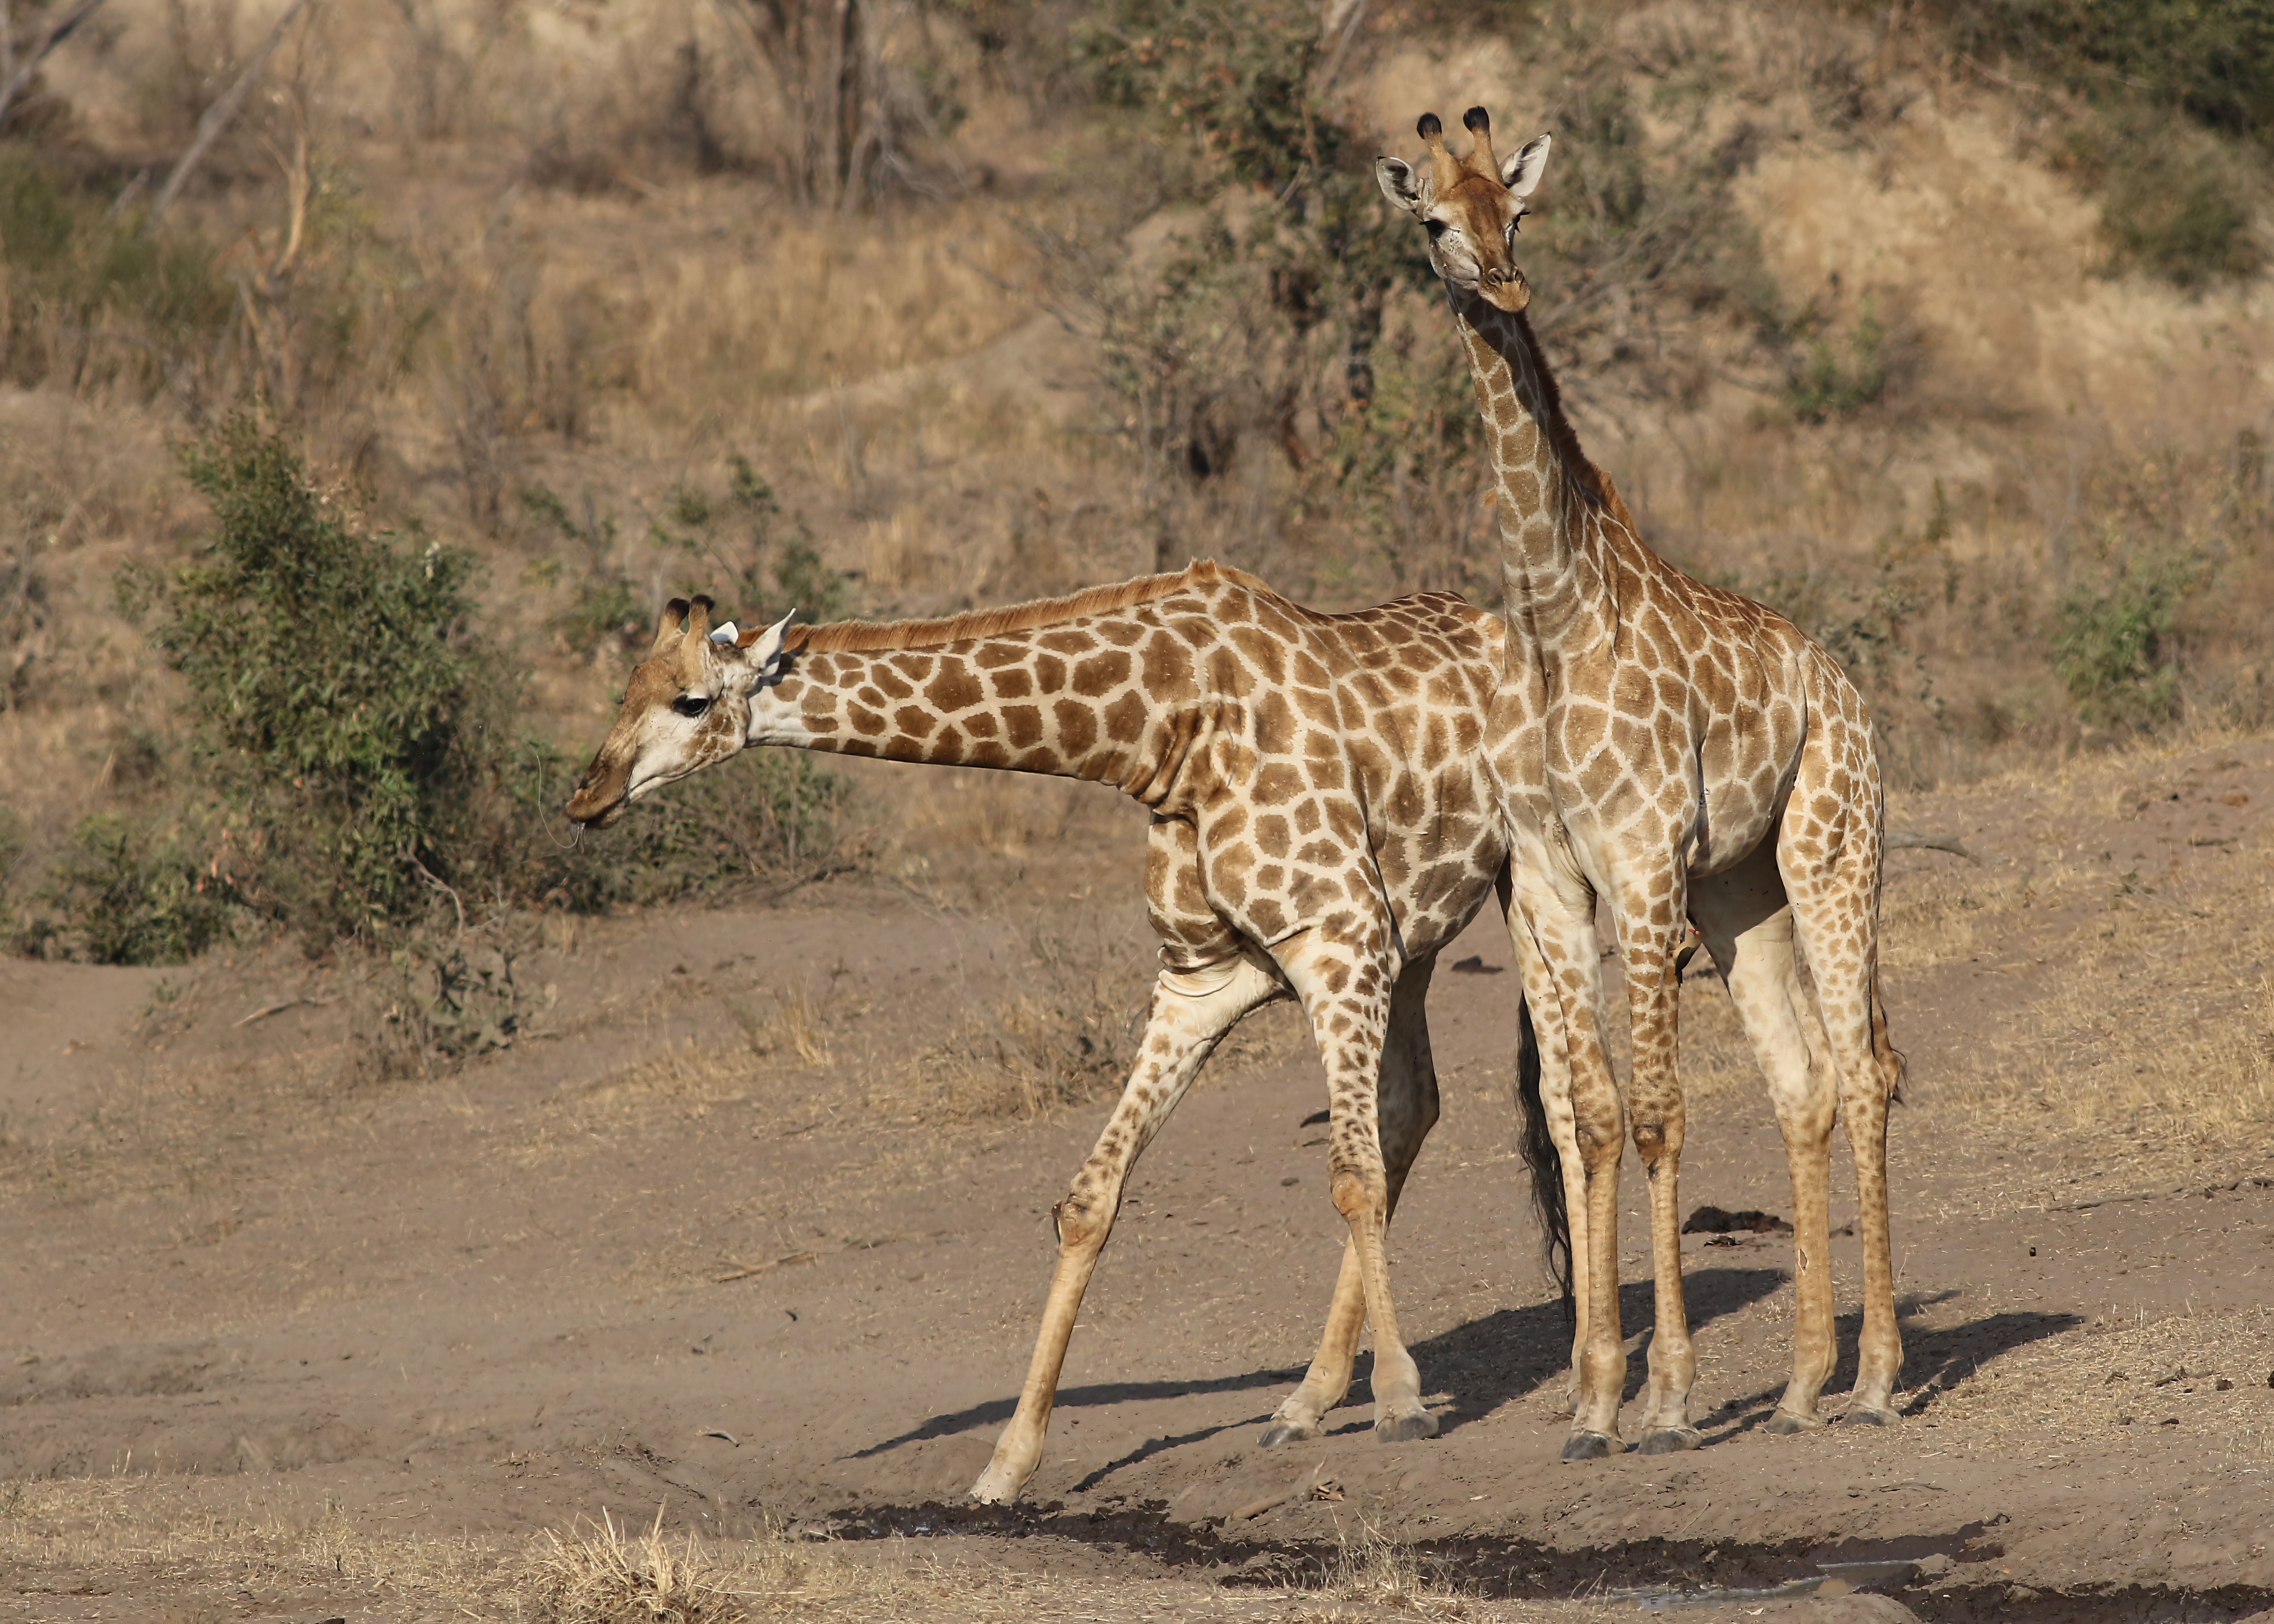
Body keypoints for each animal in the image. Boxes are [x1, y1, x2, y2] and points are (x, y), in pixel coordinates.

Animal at [562, 560, 1560, 1504]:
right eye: (624, 690)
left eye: (690, 700)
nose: (587, 796)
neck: (1161, 722)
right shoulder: (1205, 976)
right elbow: (1089, 1201)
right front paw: (1006, 1465)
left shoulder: (1336, 938)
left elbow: (1350, 1175)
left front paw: (1401, 1403)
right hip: (1416, 939)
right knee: (1414, 1106)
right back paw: (1302, 1404)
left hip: (1530, 883)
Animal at [1376, 108, 1906, 1458]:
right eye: (1433, 221)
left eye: (1515, 209)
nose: (1501, 281)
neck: (1553, 618)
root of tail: (1842, 685)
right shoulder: (1546, 881)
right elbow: (1586, 1115)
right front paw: (1592, 1400)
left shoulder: (1641, 856)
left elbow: (1661, 1112)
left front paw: (1664, 1398)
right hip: (1740, 892)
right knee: (1802, 1082)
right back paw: (1799, 1385)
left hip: (1831, 850)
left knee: (1864, 1073)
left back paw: (1876, 1379)